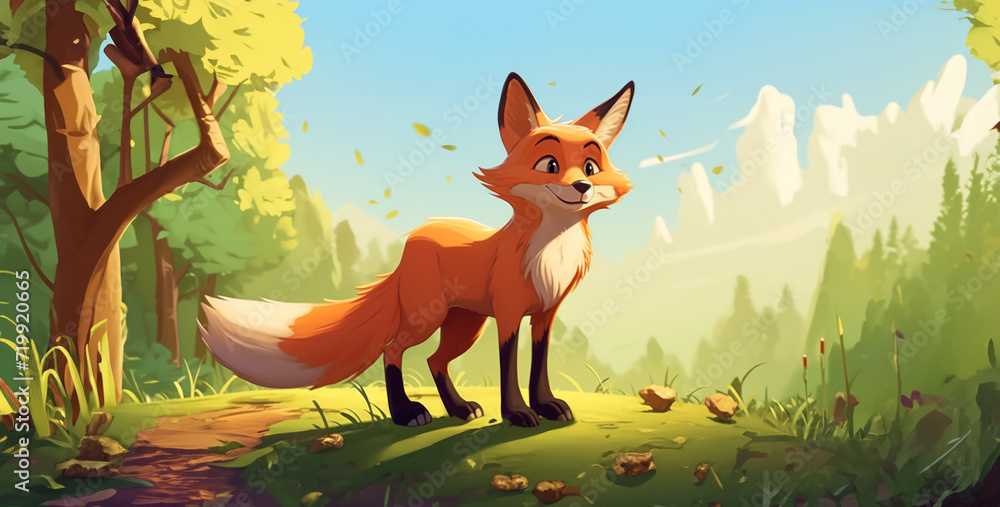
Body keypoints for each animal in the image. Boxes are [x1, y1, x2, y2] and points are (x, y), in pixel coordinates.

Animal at [199, 73, 635, 428]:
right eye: (549, 164)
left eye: (591, 167)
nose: (582, 187)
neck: (551, 251)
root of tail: (415, 237)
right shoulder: (509, 313)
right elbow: (508, 368)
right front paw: (517, 413)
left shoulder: (545, 313)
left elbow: (539, 367)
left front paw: (546, 406)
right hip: (430, 317)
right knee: (393, 350)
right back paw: (406, 413)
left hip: (465, 324)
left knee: (434, 360)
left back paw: (458, 408)